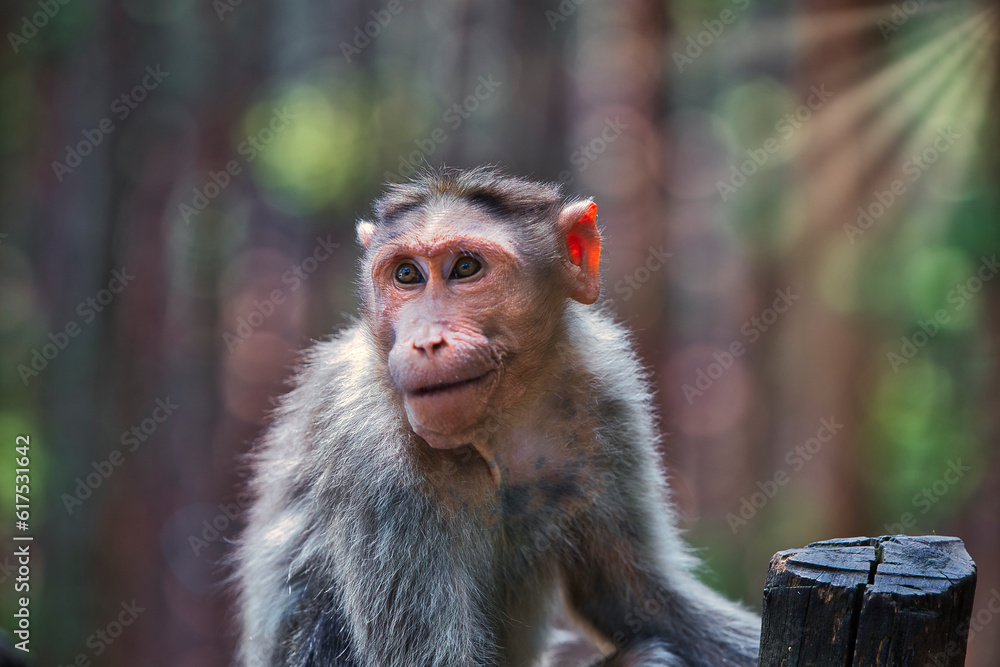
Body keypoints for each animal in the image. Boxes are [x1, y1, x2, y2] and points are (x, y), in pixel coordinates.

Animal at [232, 166, 760, 666]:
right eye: (407, 275)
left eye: (465, 267)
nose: (425, 341)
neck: (494, 424)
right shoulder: (372, 453)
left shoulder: (608, 395)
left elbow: (634, 599)